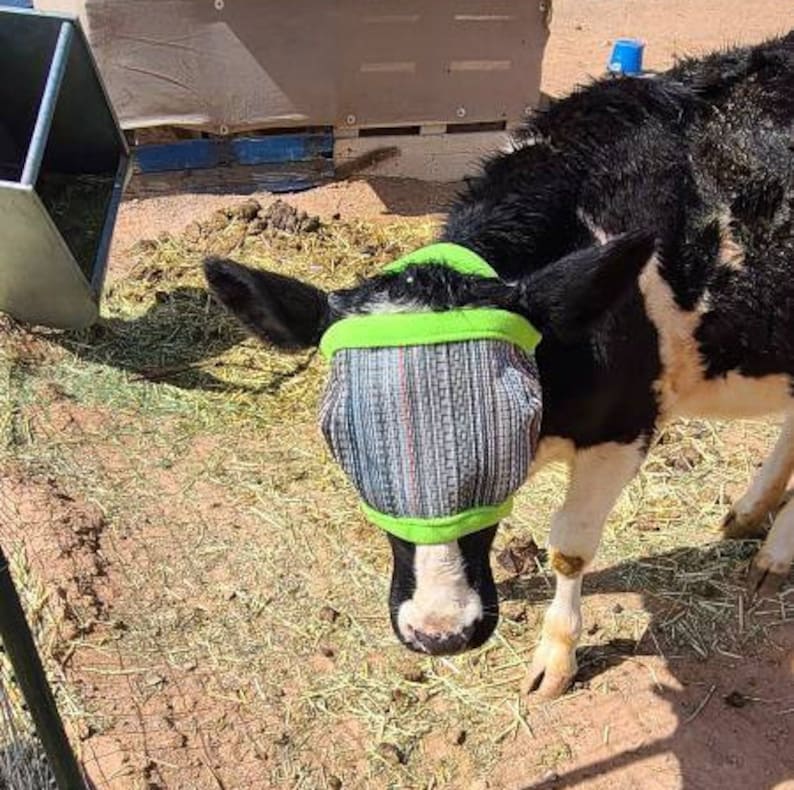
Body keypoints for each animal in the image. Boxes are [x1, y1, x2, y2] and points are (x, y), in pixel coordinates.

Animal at [204, 32, 794, 699]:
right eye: (343, 444)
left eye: (511, 433)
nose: (440, 633)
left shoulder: (624, 426)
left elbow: (570, 548)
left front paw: (555, 659)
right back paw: (750, 515)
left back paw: (774, 552)